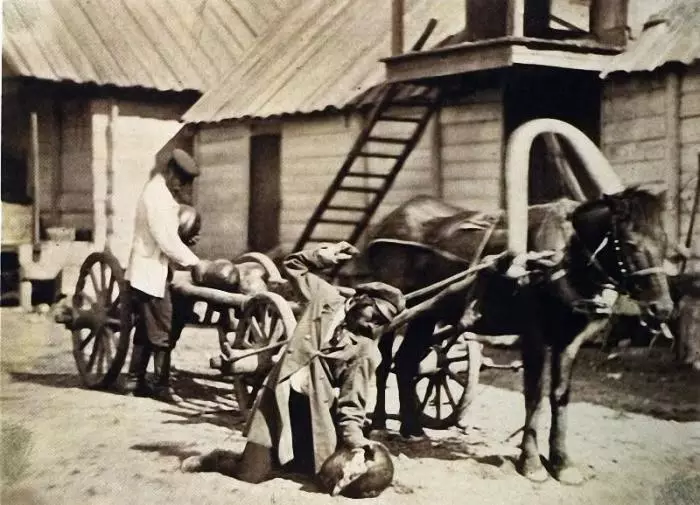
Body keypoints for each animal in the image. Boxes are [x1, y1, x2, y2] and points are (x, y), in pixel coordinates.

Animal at [366, 189, 672, 484]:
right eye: (630, 244)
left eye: (665, 243)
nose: (662, 308)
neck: (562, 260)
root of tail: (391, 219)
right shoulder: (535, 337)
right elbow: (535, 397)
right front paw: (532, 463)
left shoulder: (569, 341)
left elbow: (560, 397)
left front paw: (562, 464)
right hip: (391, 306)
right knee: (384, 364)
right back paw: (379, 422)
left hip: (427, 315)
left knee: (406, 363)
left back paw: (412, 427)